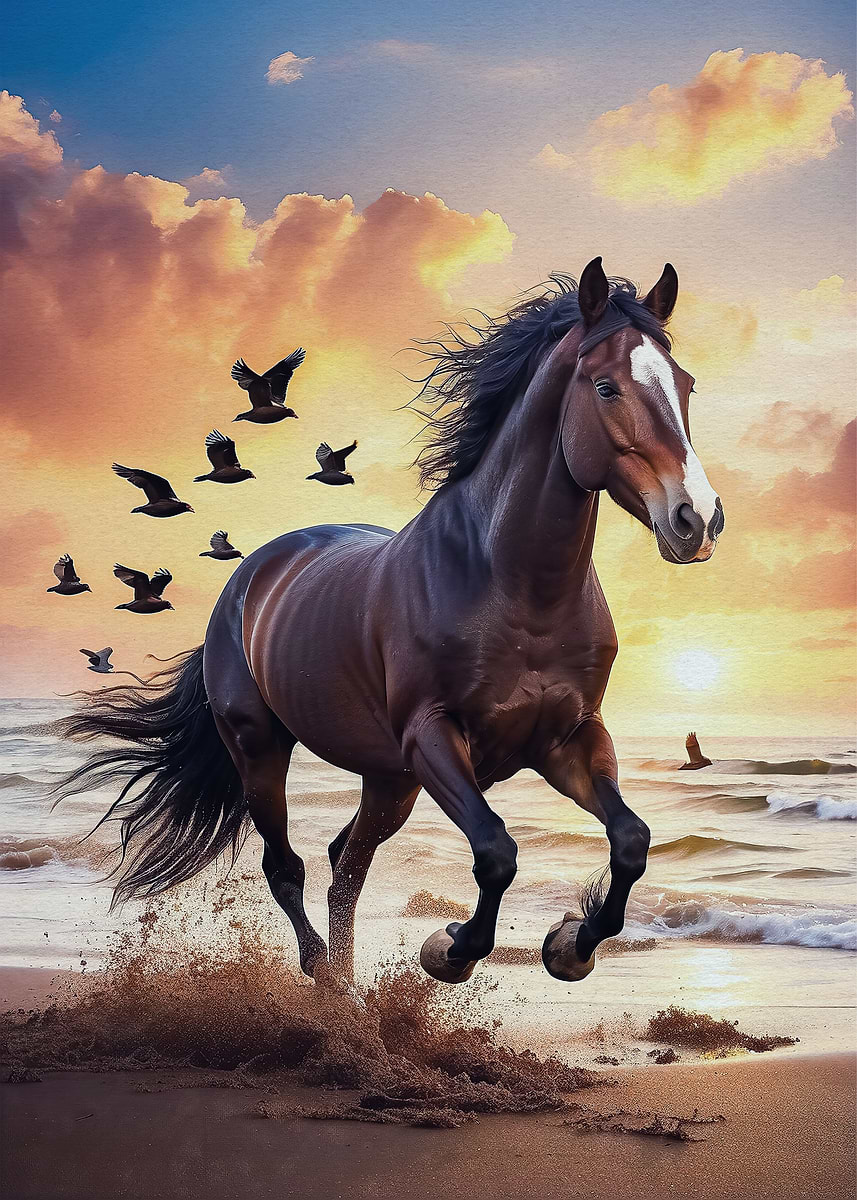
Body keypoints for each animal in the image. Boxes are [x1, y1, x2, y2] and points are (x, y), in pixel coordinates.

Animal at [58, 257, 724, 988]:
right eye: (606, 386)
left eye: (686, 384)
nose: (696, 520)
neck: (517, 591)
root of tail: (251, 574)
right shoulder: (432, 737)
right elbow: (496, 851)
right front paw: (450, 949)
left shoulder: (568, 738)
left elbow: (631, 840)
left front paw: (569, 946)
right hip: (264, 750)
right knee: (288, 867)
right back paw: (327, 979)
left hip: (388, 781)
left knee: (345, 863)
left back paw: (348, 983)